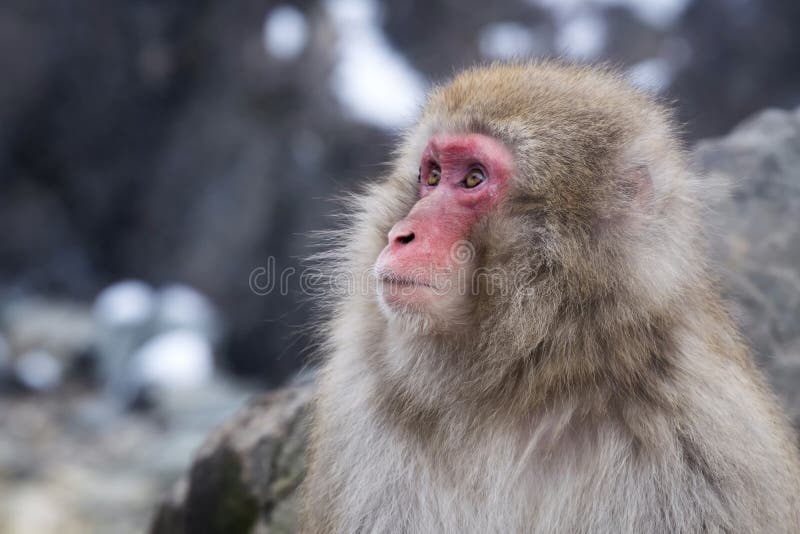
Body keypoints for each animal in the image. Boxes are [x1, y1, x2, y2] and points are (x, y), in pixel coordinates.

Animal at [300, 61, 800, 533]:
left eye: (474, 179)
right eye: (434, 174)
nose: (400, 235)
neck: (526, 377)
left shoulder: (704, 442)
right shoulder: (361, 415)